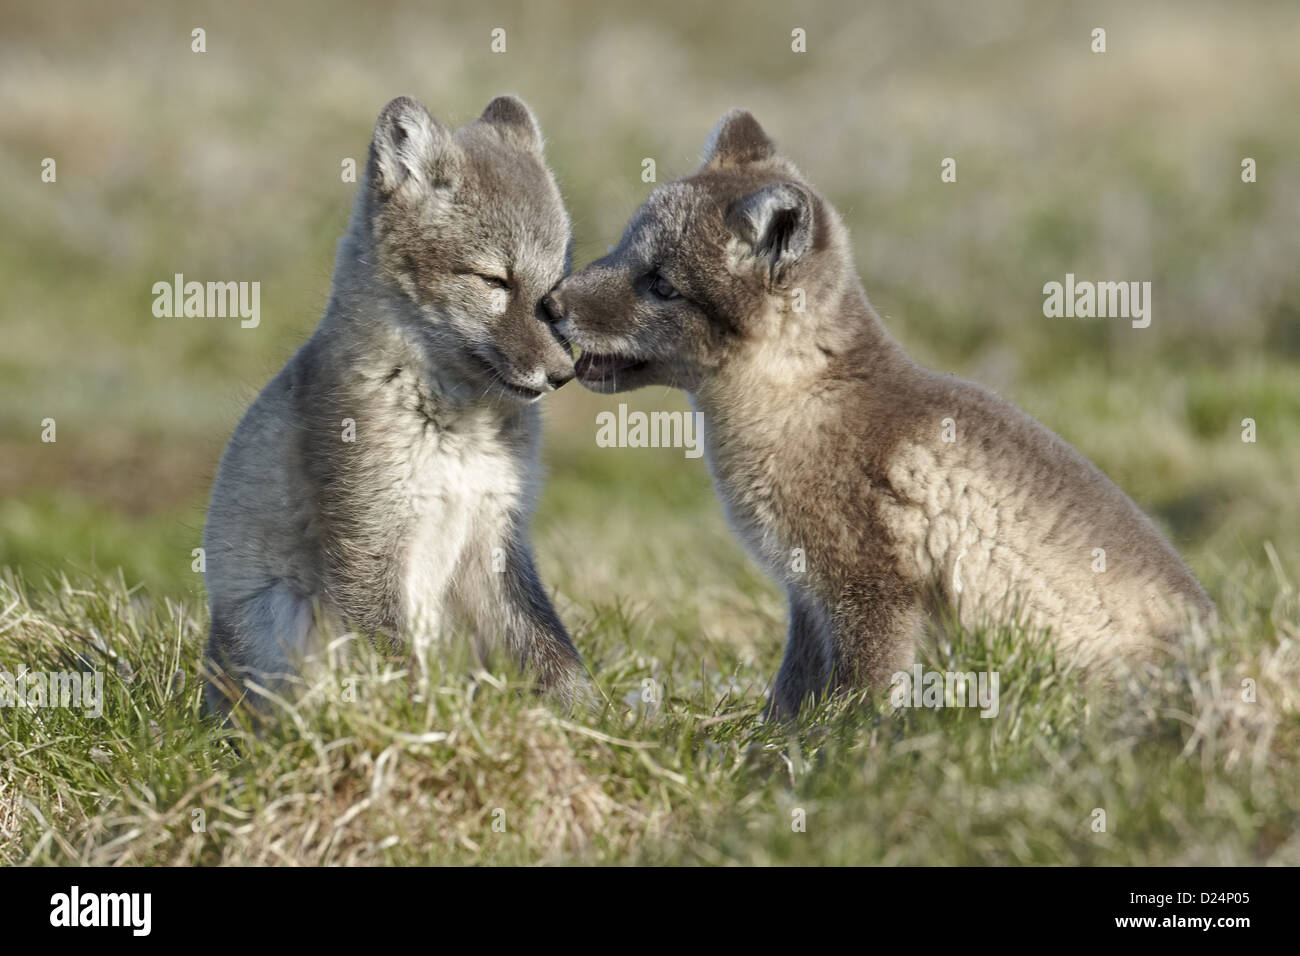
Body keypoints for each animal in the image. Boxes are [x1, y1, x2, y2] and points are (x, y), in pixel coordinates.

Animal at [202, 95, 583, 717]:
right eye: (495, 280)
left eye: (555, 289)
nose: (563, 373)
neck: (460, 430)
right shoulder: (369, 536)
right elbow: (397, 665)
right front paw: (420, 726)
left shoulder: (497, 534)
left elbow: (553, 650)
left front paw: (600, 721)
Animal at [544, 109, 1215, 720]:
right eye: (622, 248)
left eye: (662, 285)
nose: (549, 304)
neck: (800, 405)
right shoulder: (807, 595)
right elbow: (789, 696)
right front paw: (772, 748)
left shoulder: (870, 589)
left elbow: (859, 699)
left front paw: (841, 758)